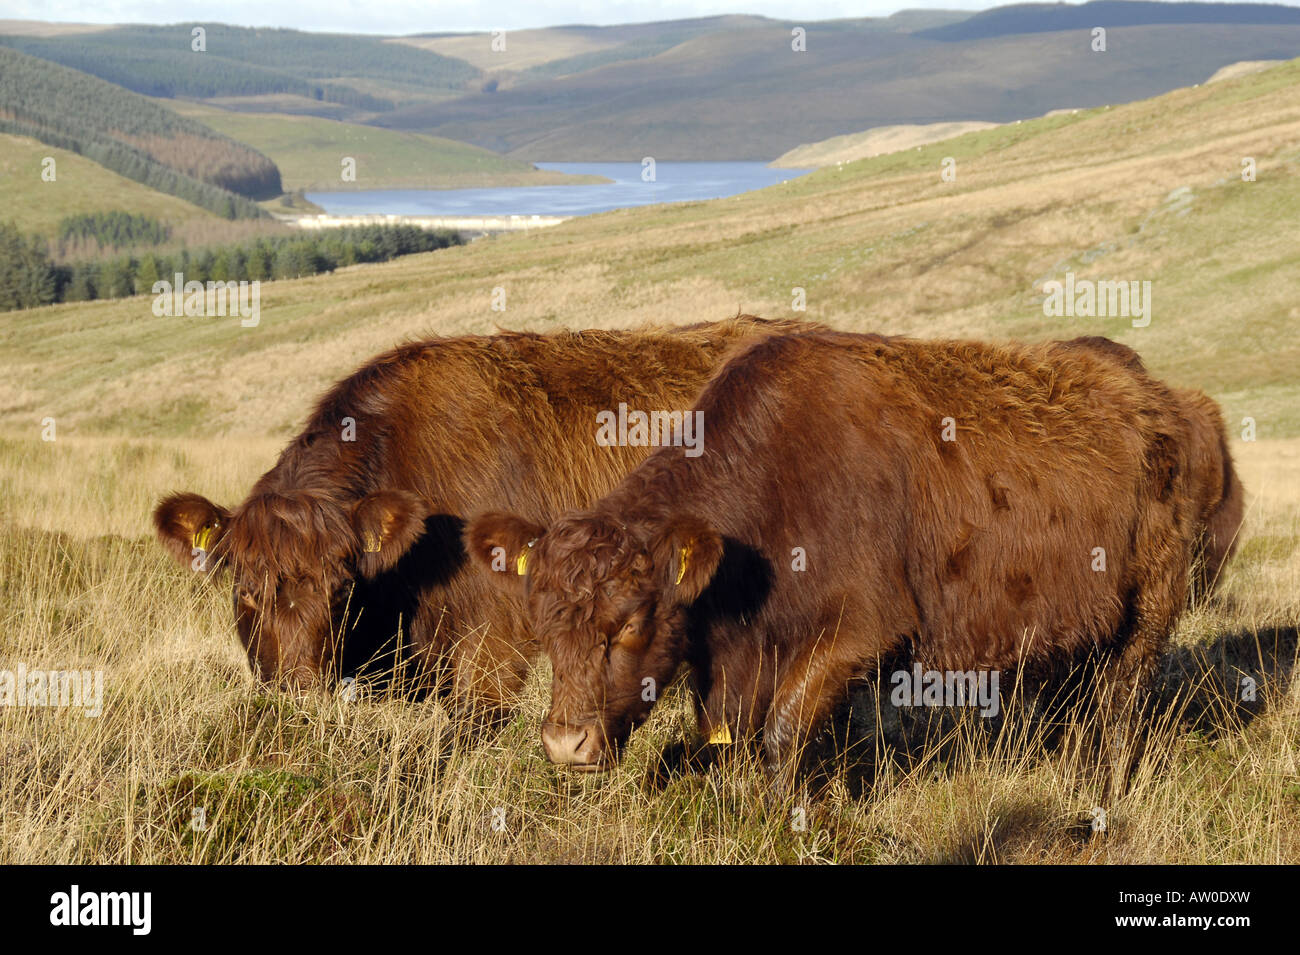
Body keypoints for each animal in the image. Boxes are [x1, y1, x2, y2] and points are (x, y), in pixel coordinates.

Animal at [467, 330, 1204, 789]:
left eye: (628, 625)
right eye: (545, 630)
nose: (566, 745)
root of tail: (1148, 392)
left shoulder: (862, 632)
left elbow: (785, 733)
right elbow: (739, 742)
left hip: (1146, 614)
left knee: (1119, 707)